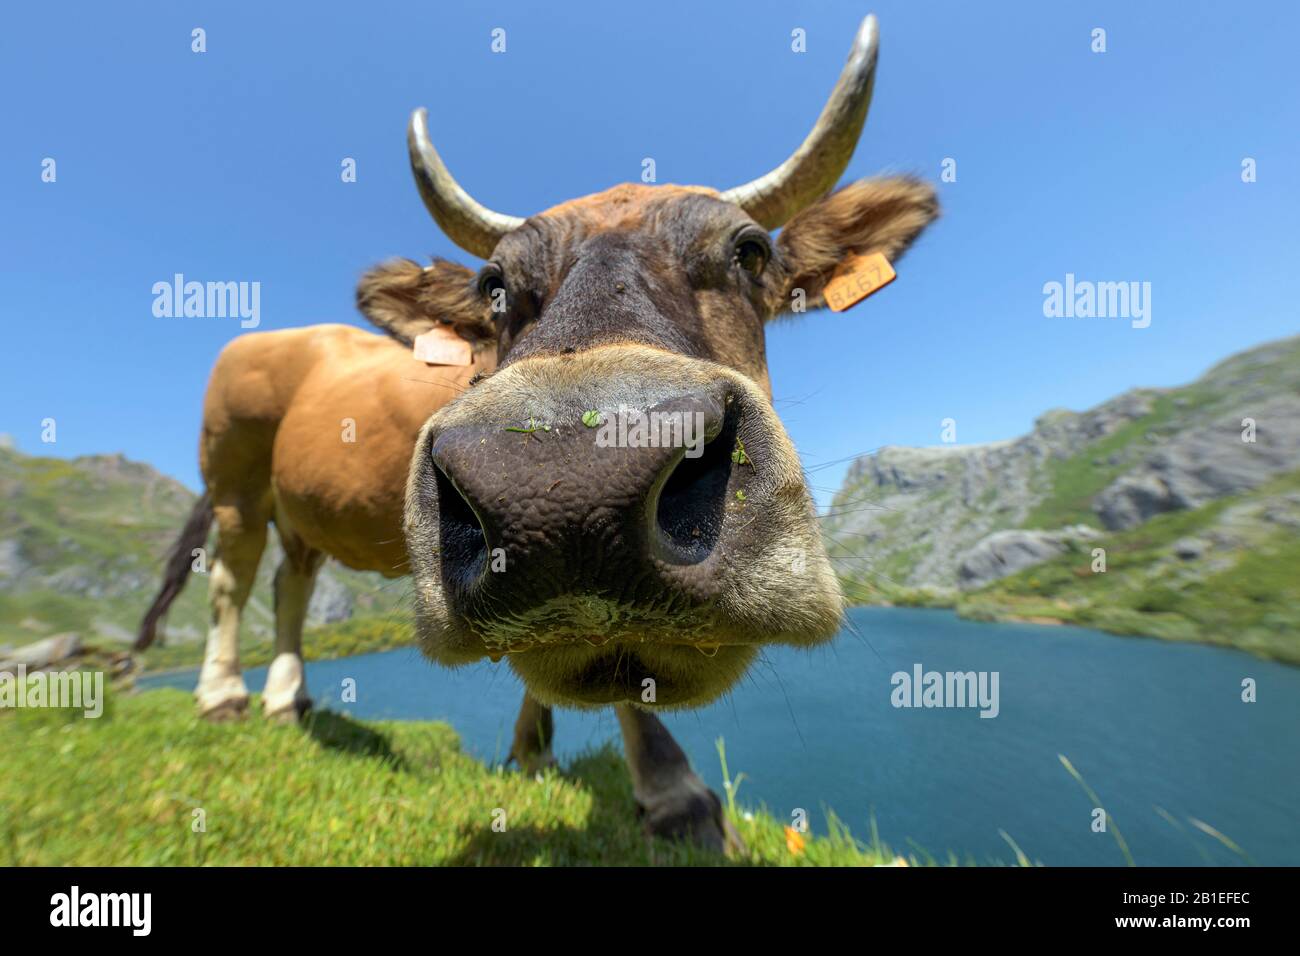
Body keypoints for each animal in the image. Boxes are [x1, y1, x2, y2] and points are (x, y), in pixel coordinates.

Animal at [137, 14, 938, 851]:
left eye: (750, 252)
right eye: (493, 285)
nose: (566, 479)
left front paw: (533, 752)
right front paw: (674, 791)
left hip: (300, 510)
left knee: (290, 581)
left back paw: (288, 699)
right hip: (234, 475)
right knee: (231, 579)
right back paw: (223, 695)